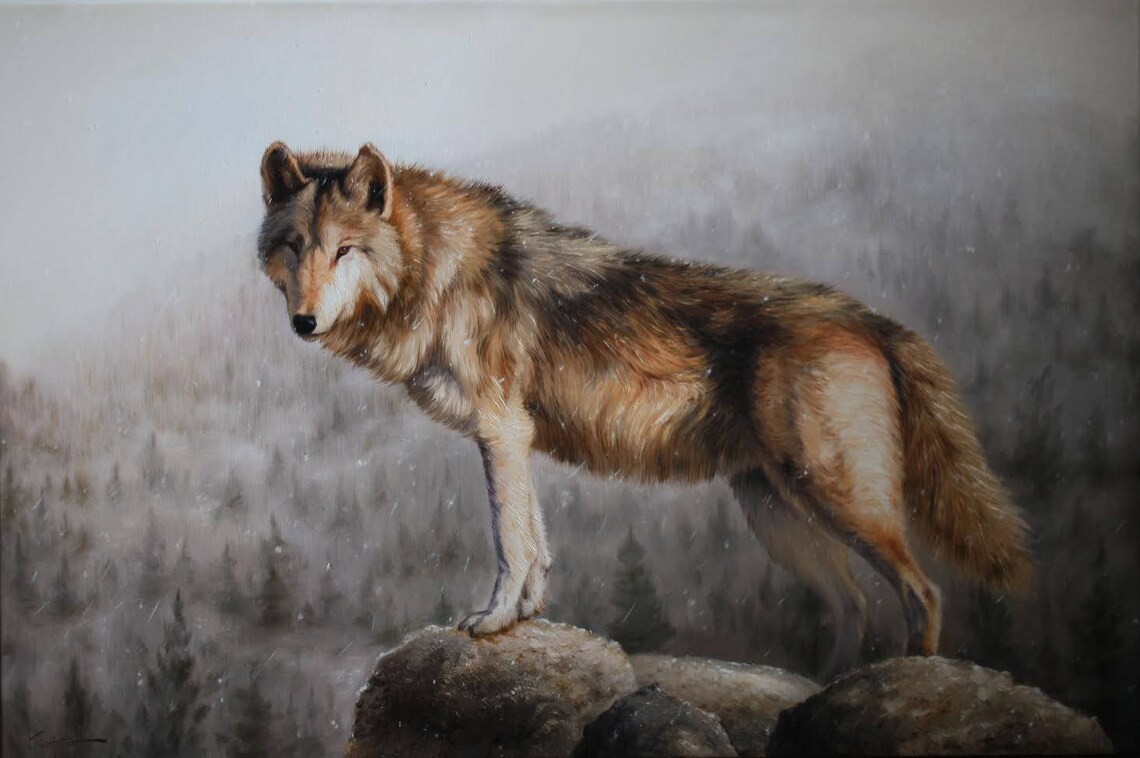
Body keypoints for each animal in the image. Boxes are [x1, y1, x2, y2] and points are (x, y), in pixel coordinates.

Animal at [256, 141, 1033, 673]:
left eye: (345, 251)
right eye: (294, 245)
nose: (303, 323)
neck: (433, 271)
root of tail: (872, 319)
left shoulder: (501, 431)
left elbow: (510, 541)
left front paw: (494, 620)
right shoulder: (513, 437)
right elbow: (536, 540)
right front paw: (529, 614)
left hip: (836, 501)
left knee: (923, 592)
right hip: (781, 518)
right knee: (855, 605)